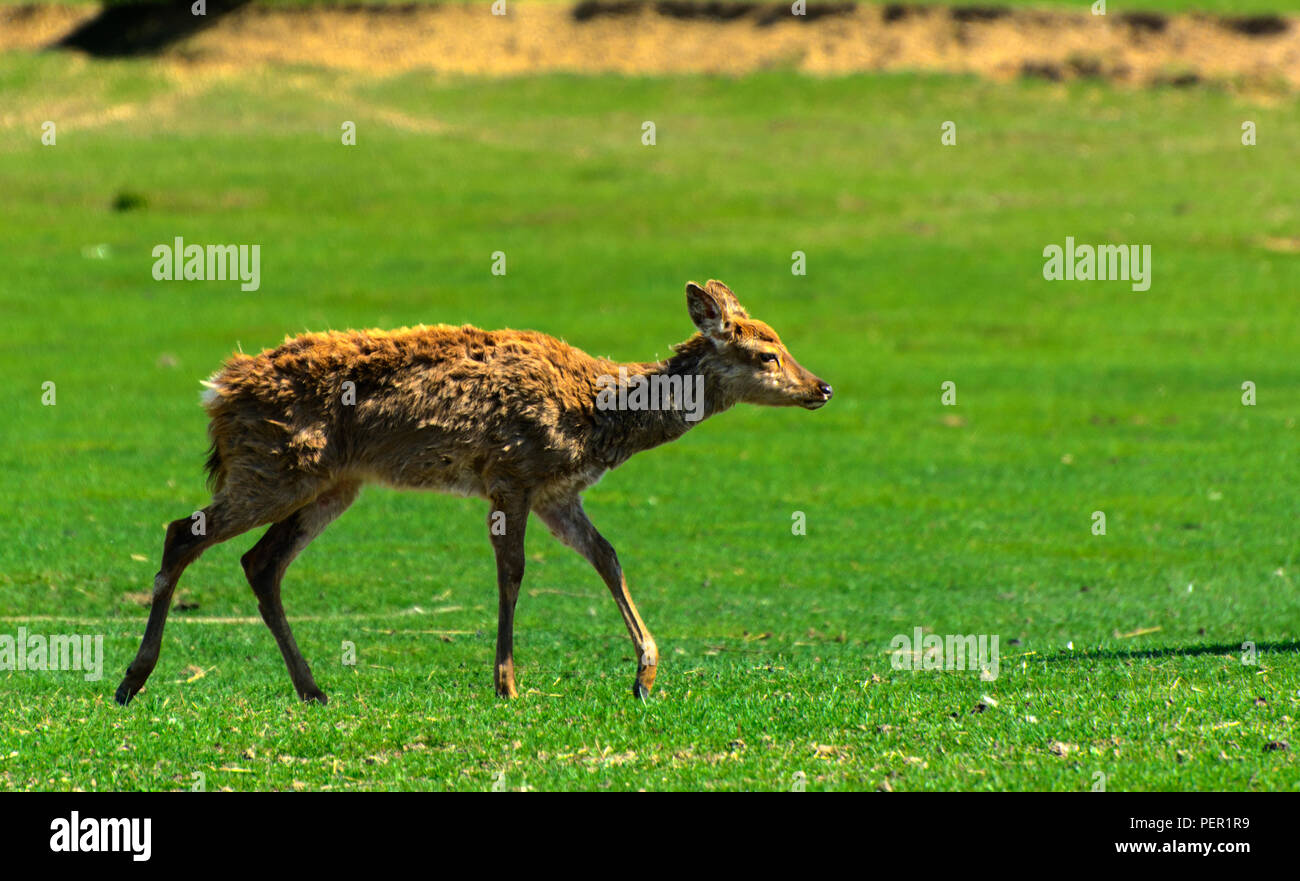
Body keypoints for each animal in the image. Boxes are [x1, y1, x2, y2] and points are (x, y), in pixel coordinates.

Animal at [115, 279, 833, 706]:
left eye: (782, 342)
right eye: (766, 353)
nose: (822, 386)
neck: (599, 413)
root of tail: (217, 392)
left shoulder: (557, 491)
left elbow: (607, 556)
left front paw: (645, 672)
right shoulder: (511, 471)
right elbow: (512, 571)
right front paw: (508, 683)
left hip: (331, 484)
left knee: (259, 561)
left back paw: (312, 687)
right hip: (273, 468)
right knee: (183, 531)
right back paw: (133, 678)